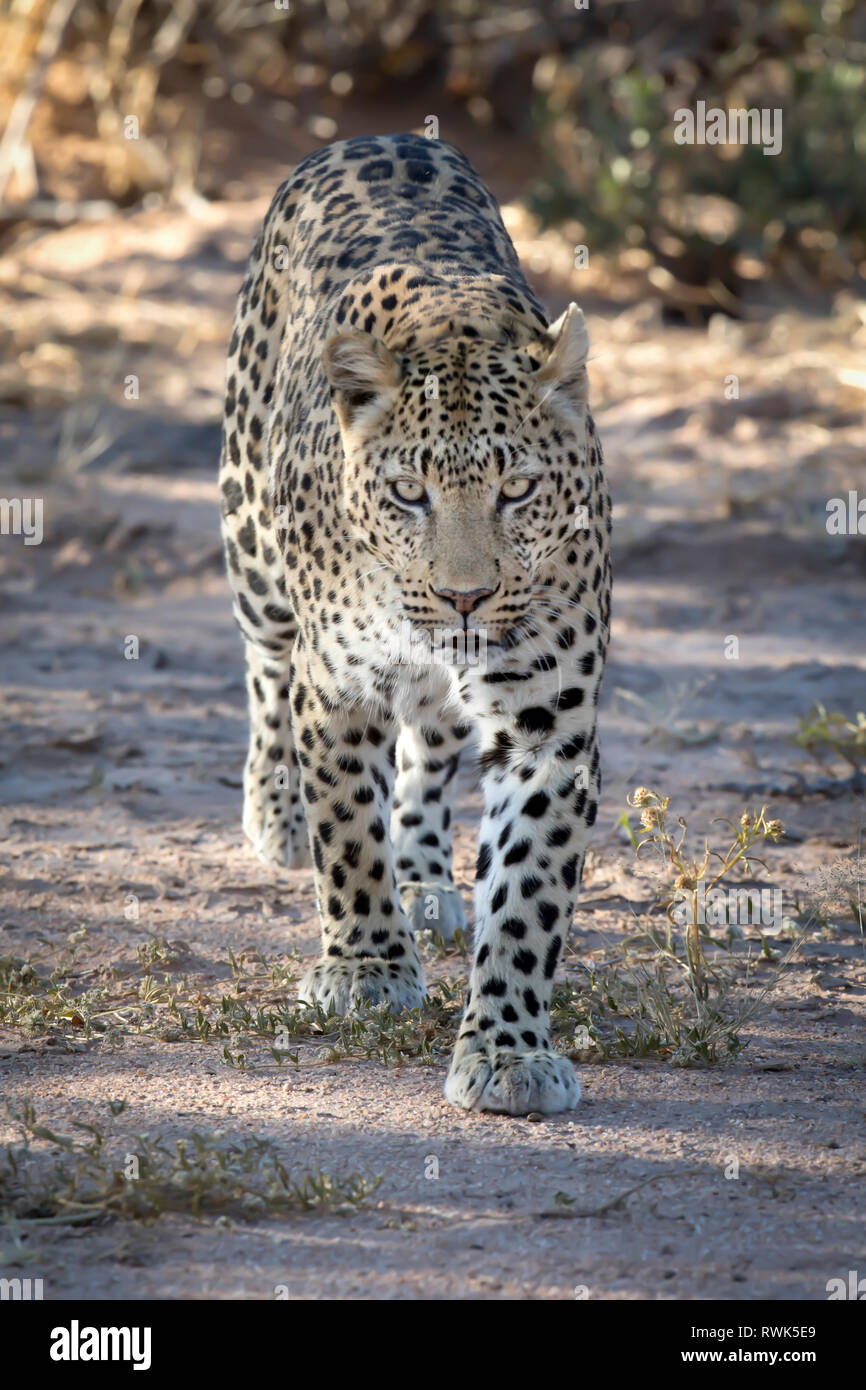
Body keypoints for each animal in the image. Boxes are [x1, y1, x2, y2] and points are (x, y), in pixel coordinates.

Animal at [219, 132, 611, 1115]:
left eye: (518, 489)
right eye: (407, 492)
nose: (465, 596)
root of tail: (381, 134)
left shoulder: (548, 722)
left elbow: (528, 893)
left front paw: (508, 1048)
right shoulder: (337, 685)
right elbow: (346, 829)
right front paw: (365, 967)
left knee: (429, 744)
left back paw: (426, 874)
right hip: (252, 545)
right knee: (264, 667)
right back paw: (275, 811)